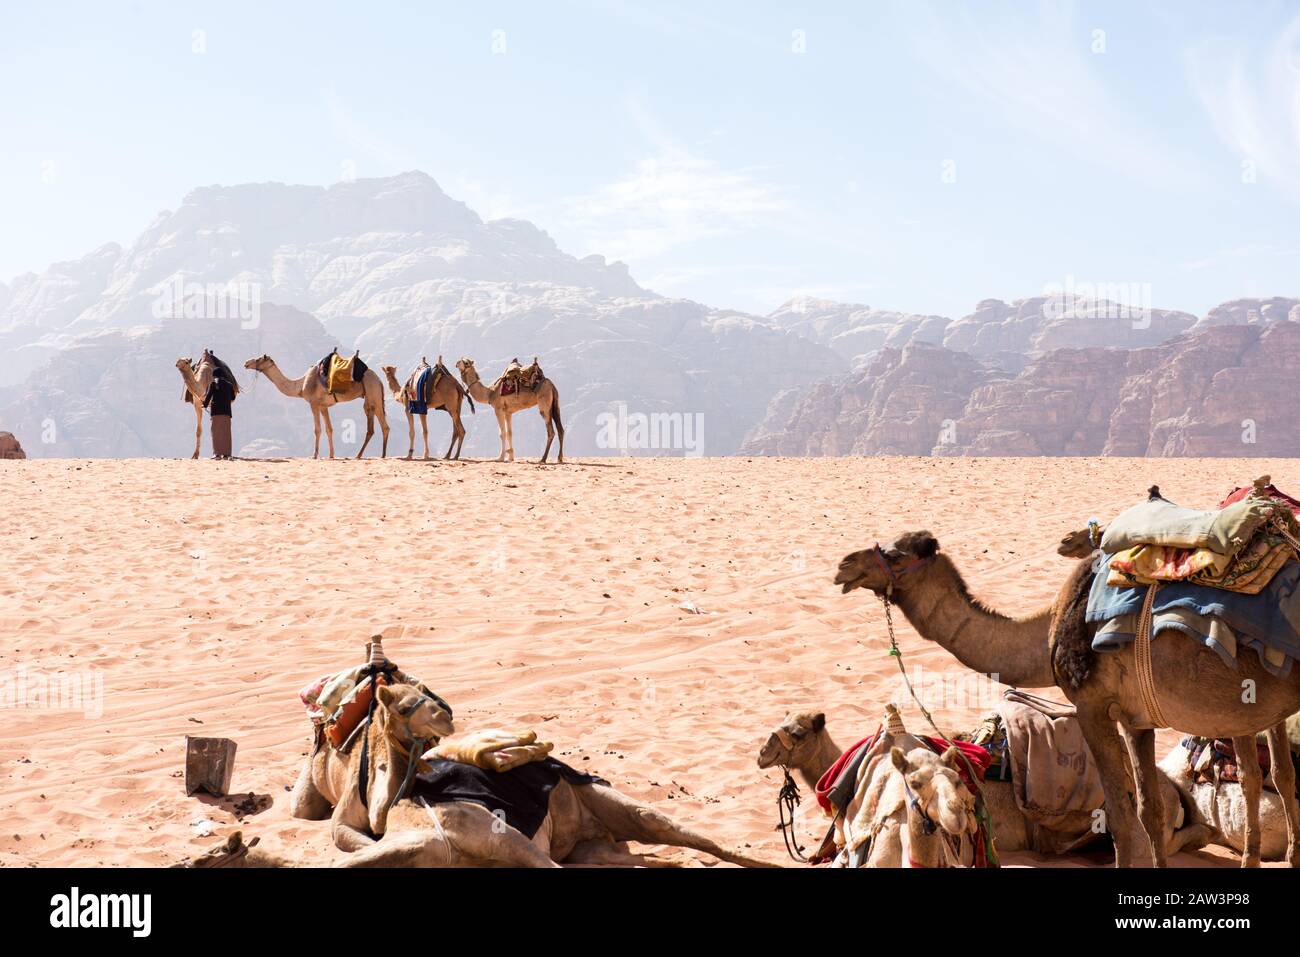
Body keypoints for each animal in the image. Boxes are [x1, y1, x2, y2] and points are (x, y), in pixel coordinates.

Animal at [244, 354, 389, 459]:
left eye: (259, 358)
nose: (246, 363)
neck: (300, 386)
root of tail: (379, 380)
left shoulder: (313, 403)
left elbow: (317, 430)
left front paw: (314, 455)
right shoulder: (323, 406)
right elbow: (329, 429)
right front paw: (331, 455)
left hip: (373, 393)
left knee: (378, 426)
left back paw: (371, 455)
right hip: (371, 397)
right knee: (378, 427)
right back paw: (372, 455)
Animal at [280, 682, 774, 867]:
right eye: (401, 704)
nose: (445, 713)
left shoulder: (503, 837)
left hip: (605, 801)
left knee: (683, 832)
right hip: (594, 843)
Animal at [835, 530, 1300, 868]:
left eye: (895, 554)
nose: (844, 565)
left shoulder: (1092, 705)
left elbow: (1122, 820)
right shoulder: (1137, 718)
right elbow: (1147, 811)